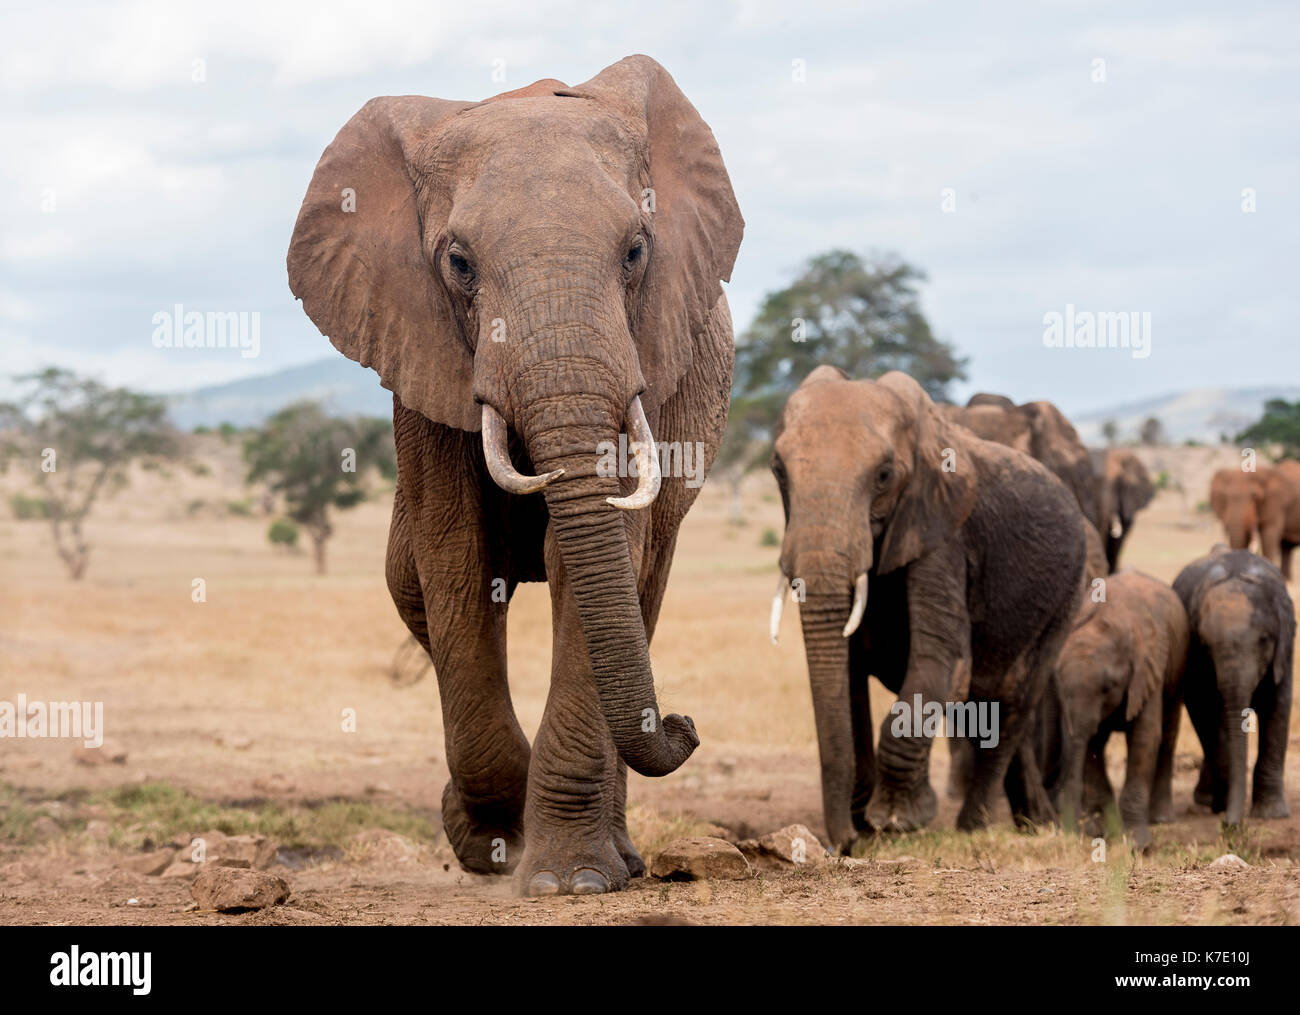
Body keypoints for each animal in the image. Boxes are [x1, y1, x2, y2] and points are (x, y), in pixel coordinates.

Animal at [287, 56, 743, 896]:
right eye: (459, 263)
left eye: (637, 251)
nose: (686, 723)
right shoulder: (422, 349)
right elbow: (455, 559)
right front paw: (497, 840)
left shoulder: (650, 362)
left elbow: (587, 562)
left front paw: (569, 879)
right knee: (410, 581)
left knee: (640, 595)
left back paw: (619, 856)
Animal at [768, 367, 1086, 849]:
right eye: (778, 470)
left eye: (884, 475)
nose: (843, 843)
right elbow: (848, 673)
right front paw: (869, 826)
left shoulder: (942, 534)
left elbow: (941, 657)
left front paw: (897, 821)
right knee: (985, 702)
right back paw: (1037, 823)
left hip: (1066, 593)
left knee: (1013, 701)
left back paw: (975, 826)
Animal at [1048, 571, 1189, 848]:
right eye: (1059, 685)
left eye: (1108, 686)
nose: (1073, 832)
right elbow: (1092, 744)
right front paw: (1104, 831)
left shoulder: (1149, 670)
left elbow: (1145, 738)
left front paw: (1137, 844)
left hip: (1177, 669)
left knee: (1168, 731)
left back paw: (1161, 819)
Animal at [1173, 548, 1294, 825]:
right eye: (1206, 646)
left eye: (1264, 640)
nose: (1229, 824)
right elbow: (1203, 710)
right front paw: (1222, 802)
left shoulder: (1284, 652)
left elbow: (1278, 709)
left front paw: (1272, 814)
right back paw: (1208, 799)